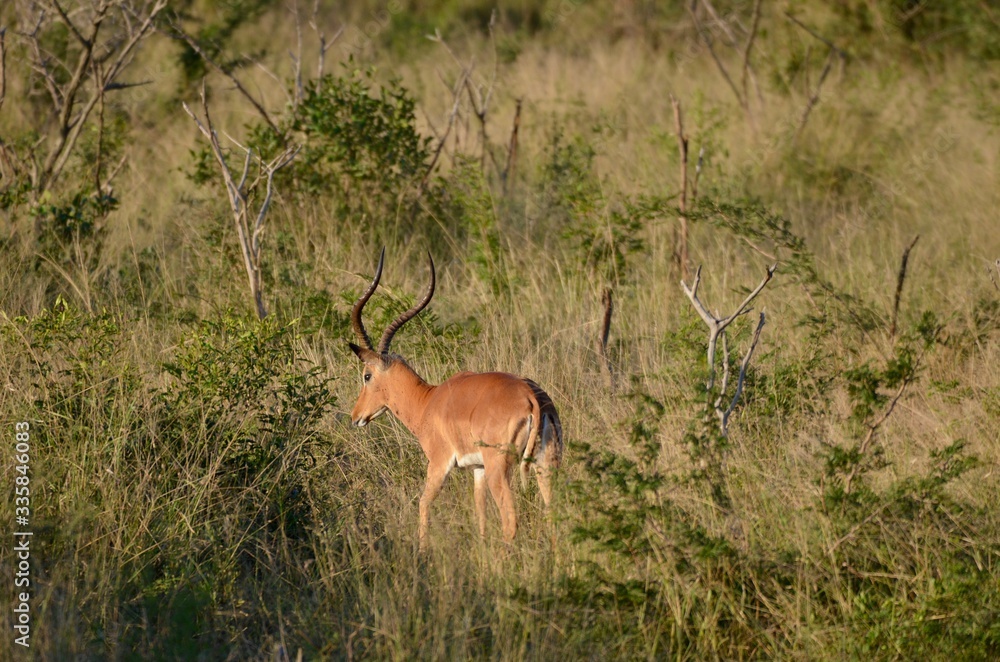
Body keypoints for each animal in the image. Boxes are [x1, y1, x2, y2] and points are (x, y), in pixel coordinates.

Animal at [348, 249, 563, 549]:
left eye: (366, 375)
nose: (355, 417)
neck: (427, 401)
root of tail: (531, 397)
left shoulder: (439, 464)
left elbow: (423, 503)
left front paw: (423, 551)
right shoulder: (477, 469)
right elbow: (480, 514)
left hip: (501, 468)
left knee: (511, 521)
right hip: (545, 463)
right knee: (554, 517)